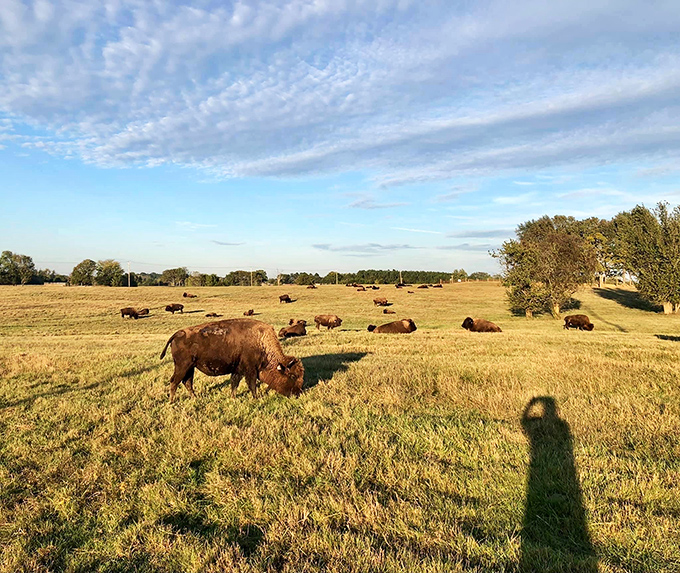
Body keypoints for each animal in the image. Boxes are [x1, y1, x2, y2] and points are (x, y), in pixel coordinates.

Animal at [160, 318, 304, 402]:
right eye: (292, 376)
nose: (297, 394)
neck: (261, 342)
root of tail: (178, 333)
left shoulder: (238, 370)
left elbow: (234, 384)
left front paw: (234, 398)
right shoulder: (250, 370)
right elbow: (251, 385)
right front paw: (256, 398)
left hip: (190, 367)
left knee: (187, 382)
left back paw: (195, 398)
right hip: (182, 366)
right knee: (174, 381)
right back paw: (171, 401)